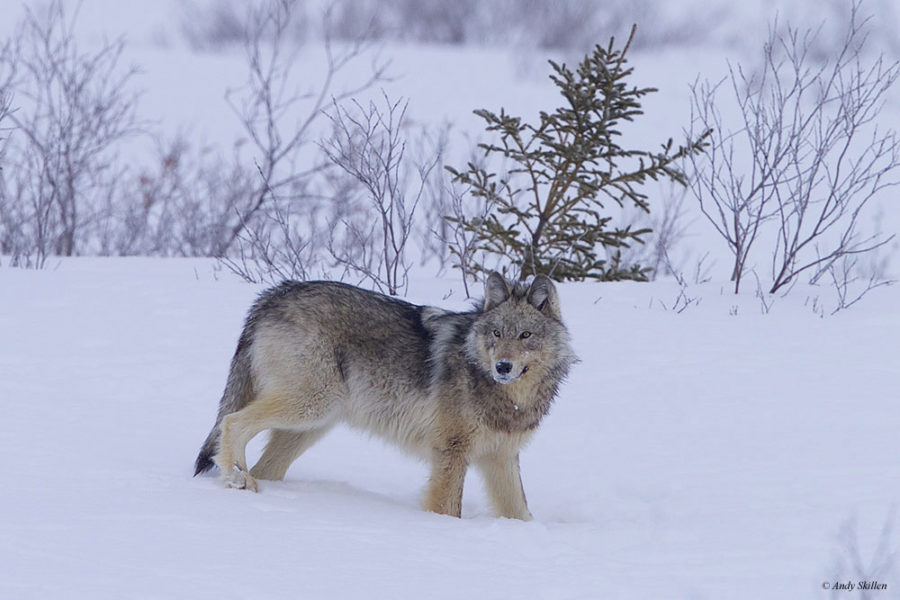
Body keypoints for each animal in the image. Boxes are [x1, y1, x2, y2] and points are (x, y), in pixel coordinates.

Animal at [193, 272, 576, 520]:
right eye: (496, 333)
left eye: (525, 335)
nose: (503, 367)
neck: (508, 397)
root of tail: (274, 293)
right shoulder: (451, 451)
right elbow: (447, 509)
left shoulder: (501, 457)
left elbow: (520, 511)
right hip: (312, 406)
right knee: (232, 421)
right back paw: (238, 478)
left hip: (312, 424)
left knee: (264, 462)